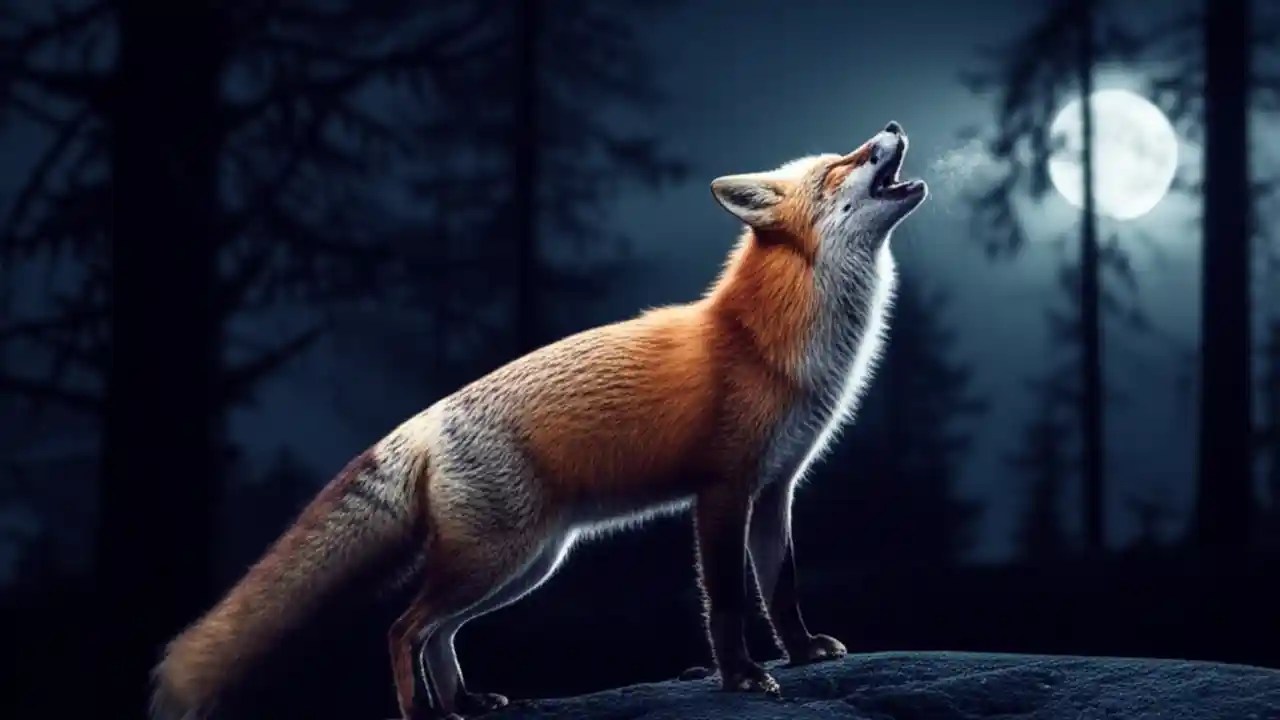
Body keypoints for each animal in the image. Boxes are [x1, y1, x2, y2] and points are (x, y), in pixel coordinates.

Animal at [150, 121, 928, 720]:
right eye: (845, 163)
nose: (891, 125)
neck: (769, 340)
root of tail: (423, 421)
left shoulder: (776, 489)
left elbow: (782, 589)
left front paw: (801, 652)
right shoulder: (723, 491)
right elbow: (731, 600)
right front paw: (740, 677)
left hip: (527, 563)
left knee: (438, 634)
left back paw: (465, 703)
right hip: (499, 557)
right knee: (403, 628)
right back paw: (421, 713)